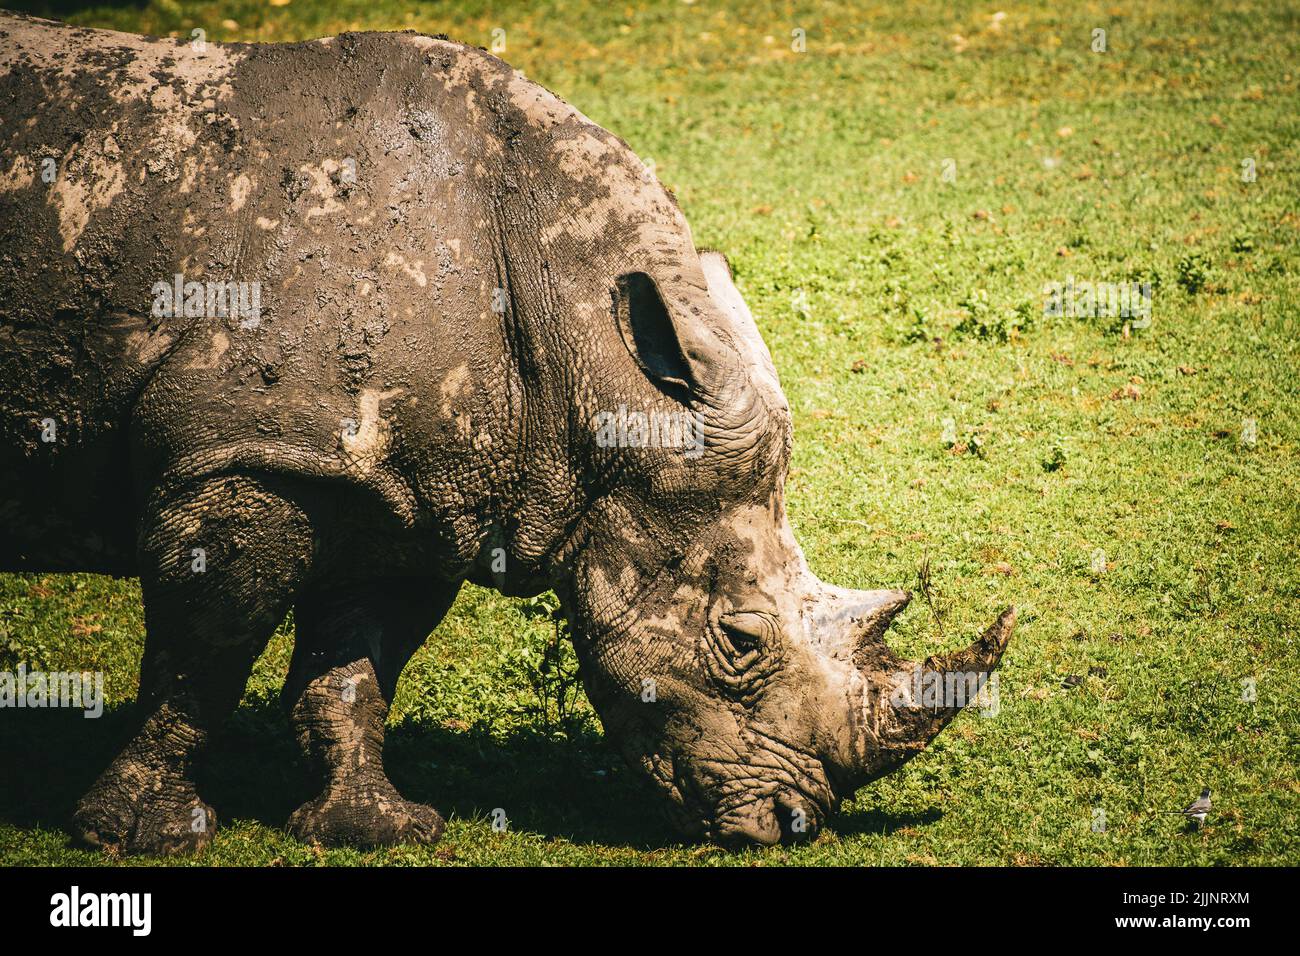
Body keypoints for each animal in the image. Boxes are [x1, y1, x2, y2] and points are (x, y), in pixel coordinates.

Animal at [0, 12, 1014, 854]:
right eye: (739, 642)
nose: (794, 822)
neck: (586, 369)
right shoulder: (244, 456)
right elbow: (203, 655)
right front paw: (141, 838)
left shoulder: (406, 491)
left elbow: (358, 663)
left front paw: (377, 830)